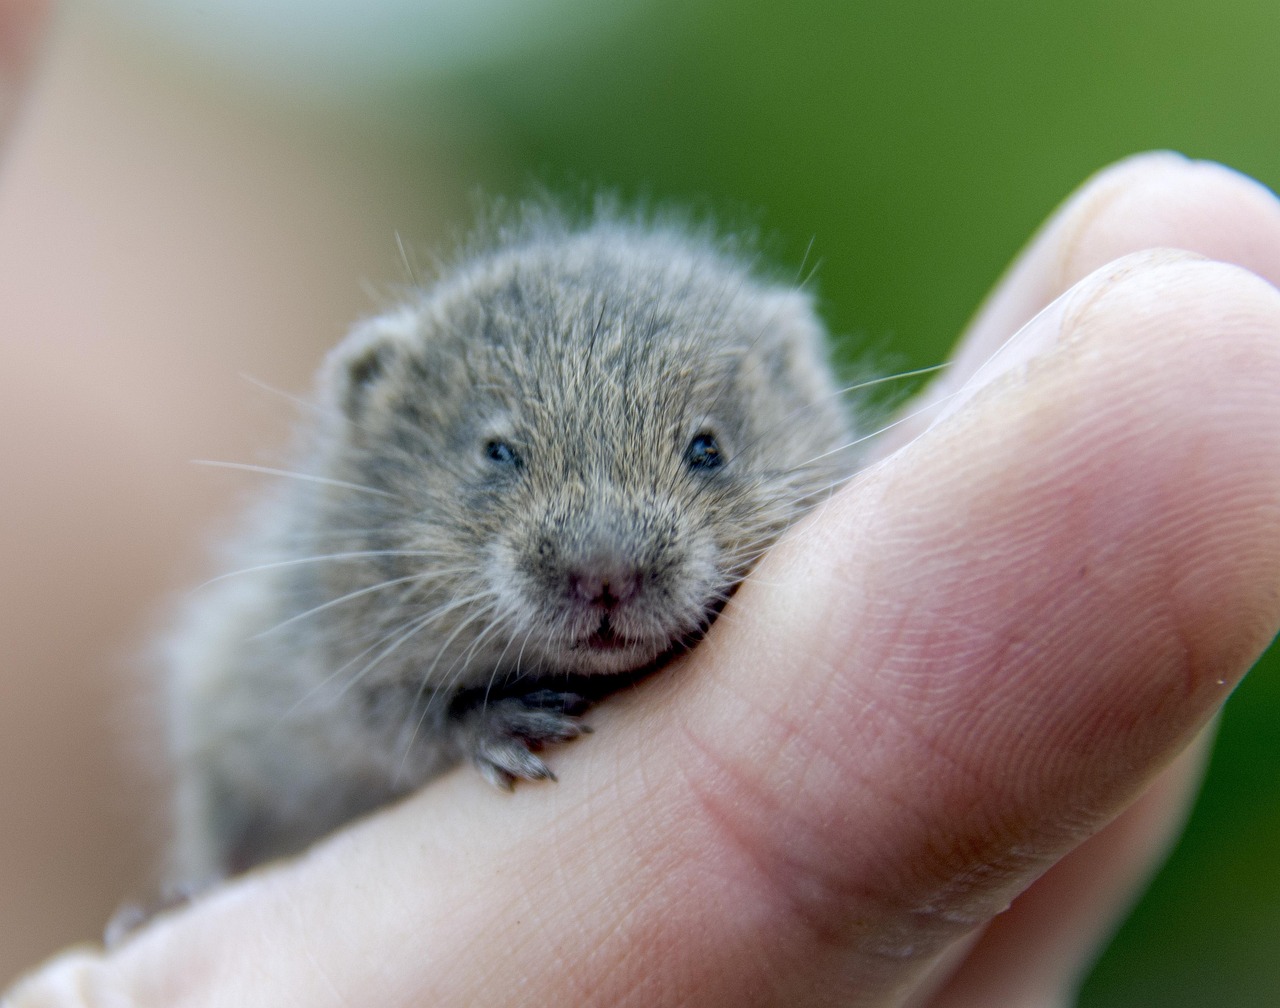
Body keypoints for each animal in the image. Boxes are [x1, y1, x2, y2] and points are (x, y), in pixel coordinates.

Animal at [166, 208, 855, 882]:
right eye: (498, 452)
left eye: (708, 448)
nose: (605, 575)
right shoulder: (333, 669)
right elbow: (406, 723)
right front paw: (507, 724)